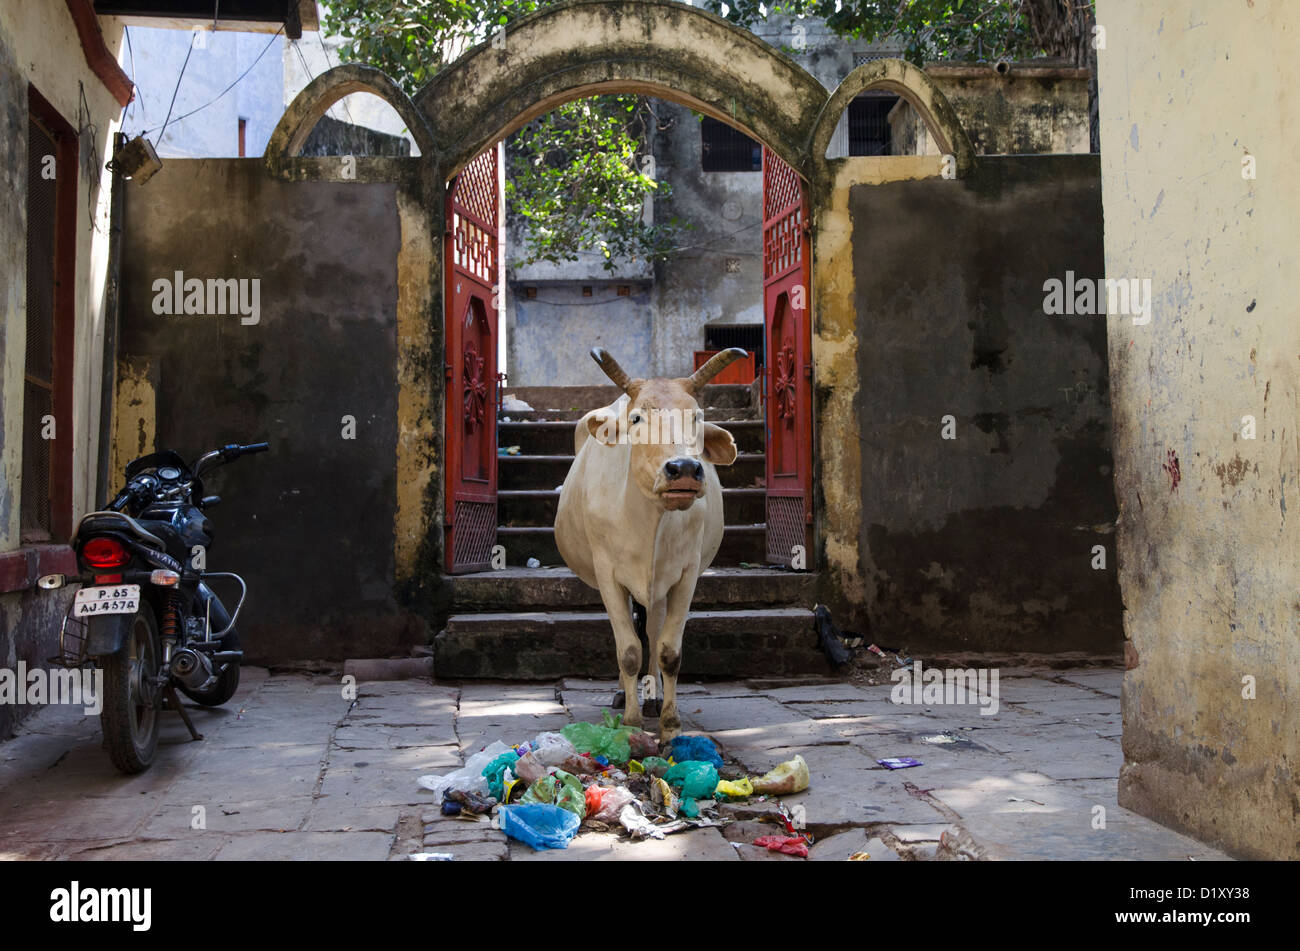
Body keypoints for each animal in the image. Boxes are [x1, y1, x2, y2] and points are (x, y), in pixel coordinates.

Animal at [555, 347, 745, 741]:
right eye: (637, 417)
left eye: (697, 416)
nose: (684, 469)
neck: (649, 518)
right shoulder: (608, 575)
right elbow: (628, 650)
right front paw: (630, 724)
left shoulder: (685, 574)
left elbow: (668, 651)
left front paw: (670, 726)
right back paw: (621, 694)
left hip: (659, 587)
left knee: (653, 631)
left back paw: (653, 696)